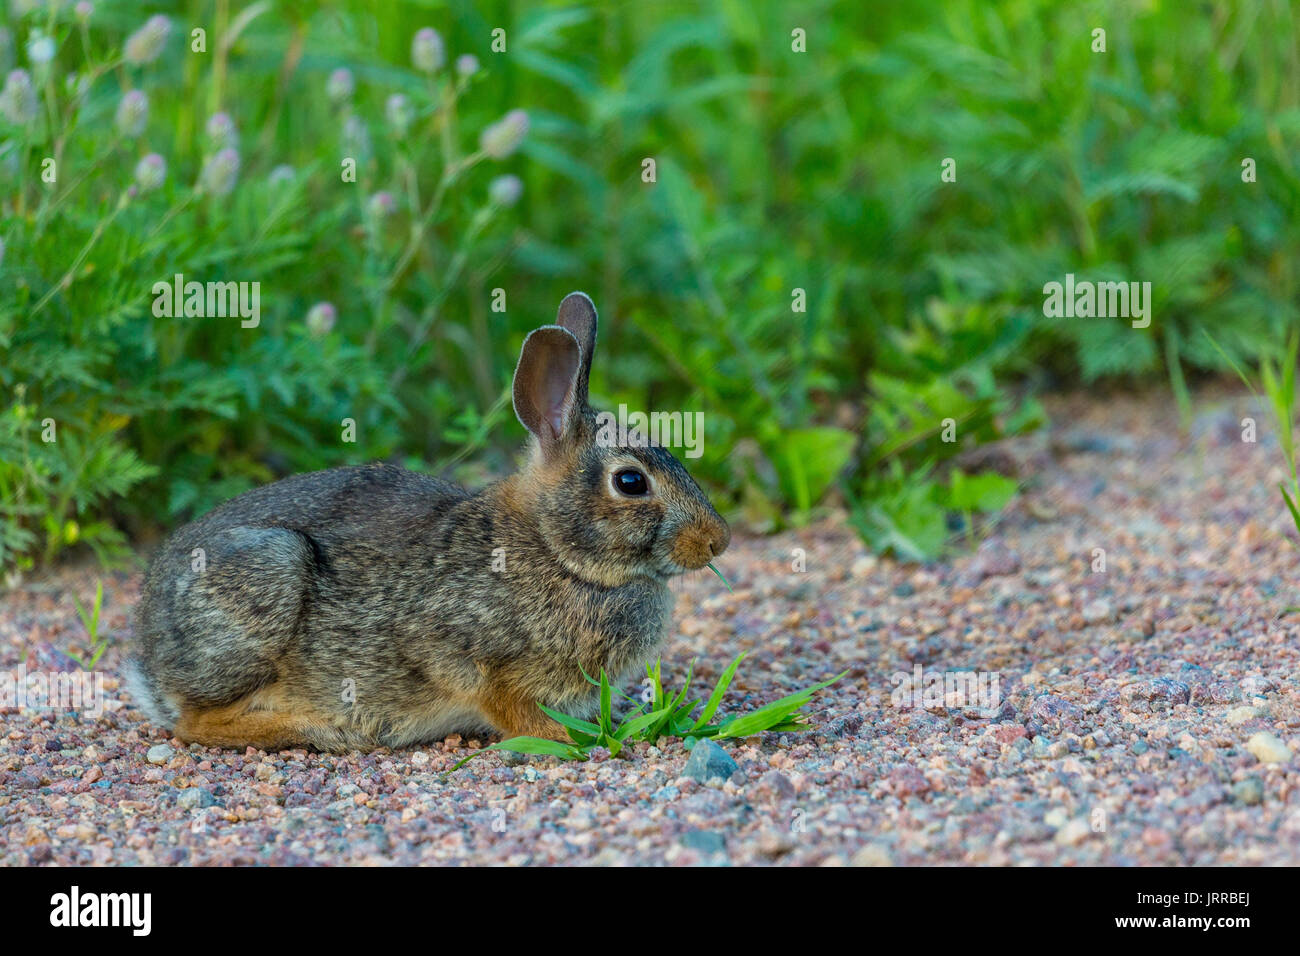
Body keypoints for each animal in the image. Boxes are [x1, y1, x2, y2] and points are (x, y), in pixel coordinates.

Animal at [125, 292, 730, 752]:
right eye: (630, 482)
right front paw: (576, 739)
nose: (718, 541)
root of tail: (150, 660)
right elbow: (509, 708)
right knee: (194, 723)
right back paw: (317, 730)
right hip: (269, 575)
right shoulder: (475, 660)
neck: (556, 550)